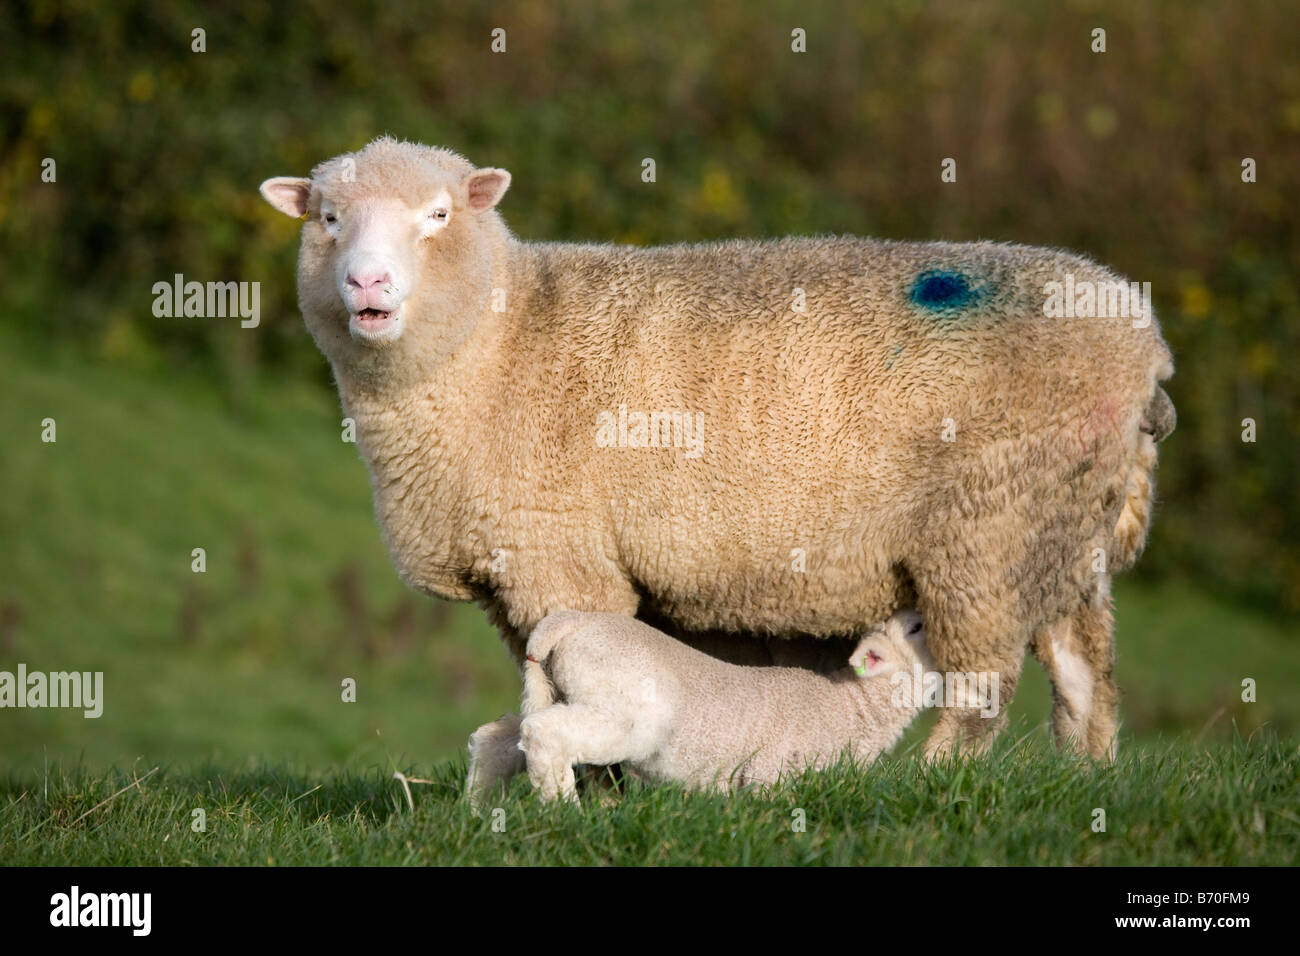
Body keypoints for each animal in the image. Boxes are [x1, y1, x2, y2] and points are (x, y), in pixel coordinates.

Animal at [259, 137, 1175, 761]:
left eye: (439, 216)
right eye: (328, 219)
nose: (367, 283)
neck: (499, 340)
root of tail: (1145, 344)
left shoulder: (561, 557)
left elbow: (568, 671)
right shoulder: (509, 566)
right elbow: (540, 677)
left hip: (987, 533)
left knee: (984, 685)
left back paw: (934, 778)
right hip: (1062, 534)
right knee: (1086, 675)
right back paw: (1085, 780)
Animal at [467, 609, 932, 805]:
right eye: (917, 626)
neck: (851, 706)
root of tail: (568, 621)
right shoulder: (770, 775)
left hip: (560, 689)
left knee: (498, 738)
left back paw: (477, 813)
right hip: (625, 711)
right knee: (544, 736)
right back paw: (566, 816)